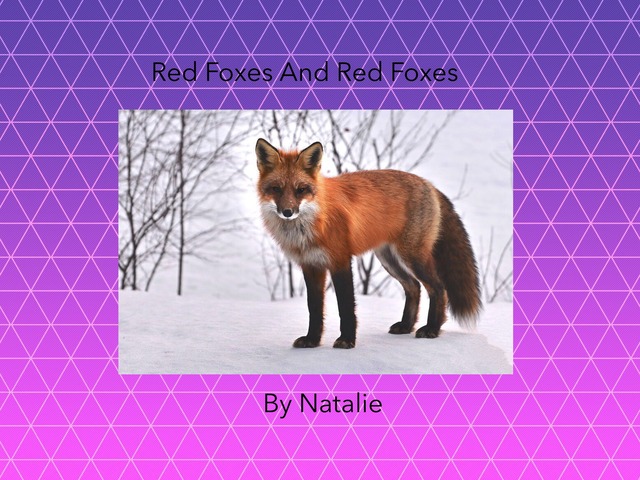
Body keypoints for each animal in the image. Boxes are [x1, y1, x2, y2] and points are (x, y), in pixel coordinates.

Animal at [256, 138, 481, 349]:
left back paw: (432, 328)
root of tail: (429, 184)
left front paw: (347, 340)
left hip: (412, 257)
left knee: (438, 288)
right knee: (414, 287)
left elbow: (346, 306)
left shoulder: (340, 260)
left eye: (301, 190)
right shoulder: (311, 266)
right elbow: (314, 309)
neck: (312, 223)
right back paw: (406, 326)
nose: (287, 212)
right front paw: (312, 340)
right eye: (276, 189)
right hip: (389, 259)